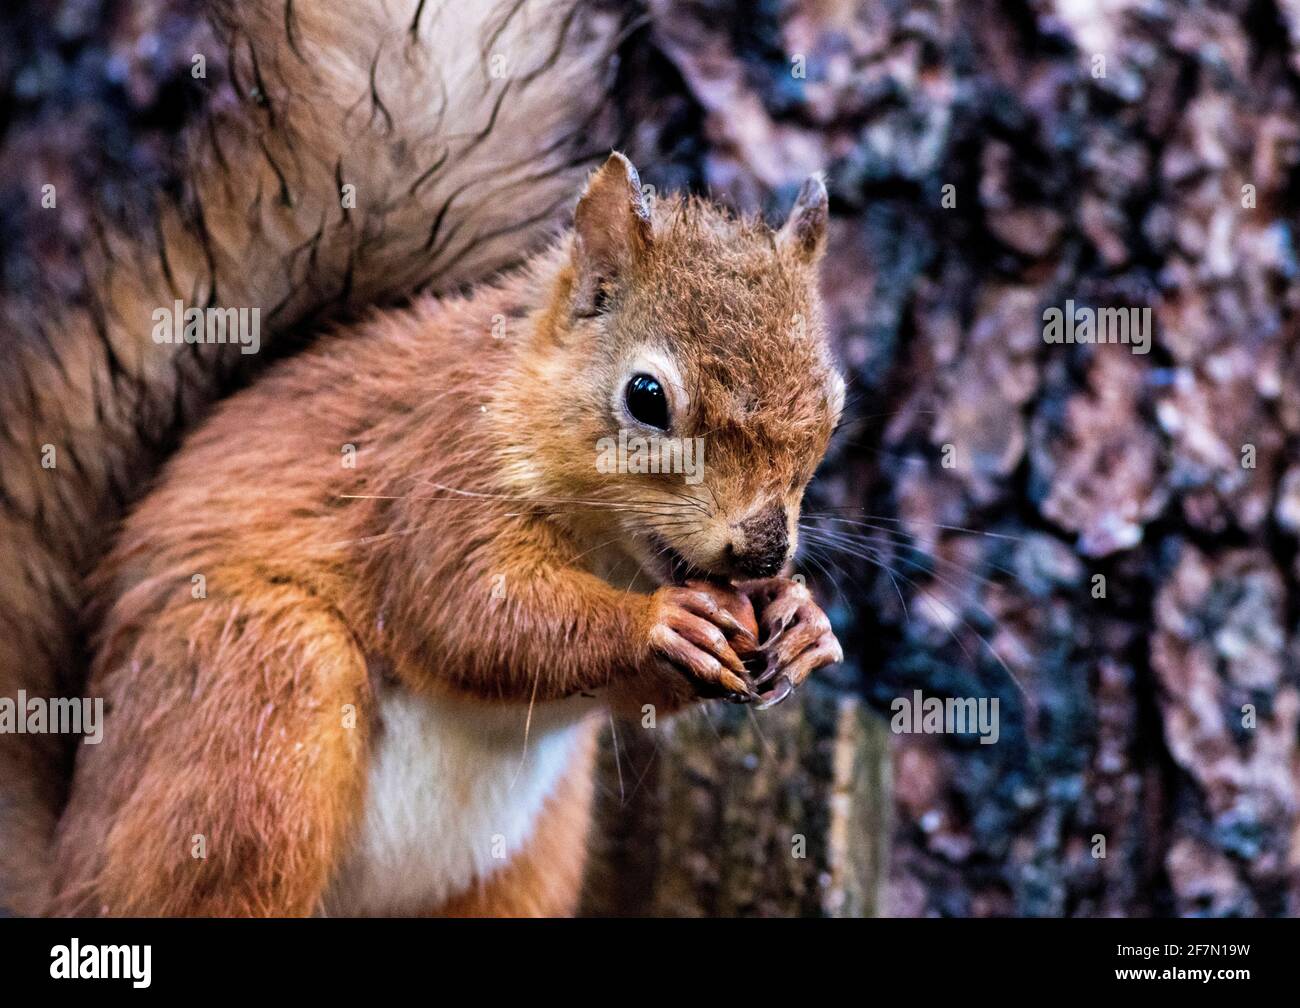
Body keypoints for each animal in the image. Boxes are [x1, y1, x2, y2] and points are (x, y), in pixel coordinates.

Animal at [0, 0, 622, 914]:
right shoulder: (438, 473)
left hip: (524, 858)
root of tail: (66, 876)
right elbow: (472, 613)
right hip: (260, 703)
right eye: (648, 392)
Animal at [49, 152, 845, 917]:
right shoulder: (434, 478)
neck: (613, 553)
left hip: (524, 861)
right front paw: (658, 623)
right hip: (252, 701)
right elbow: (470, 612)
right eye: (646, 397)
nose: (765, 551)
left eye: (835, 412)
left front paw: (804, 623)